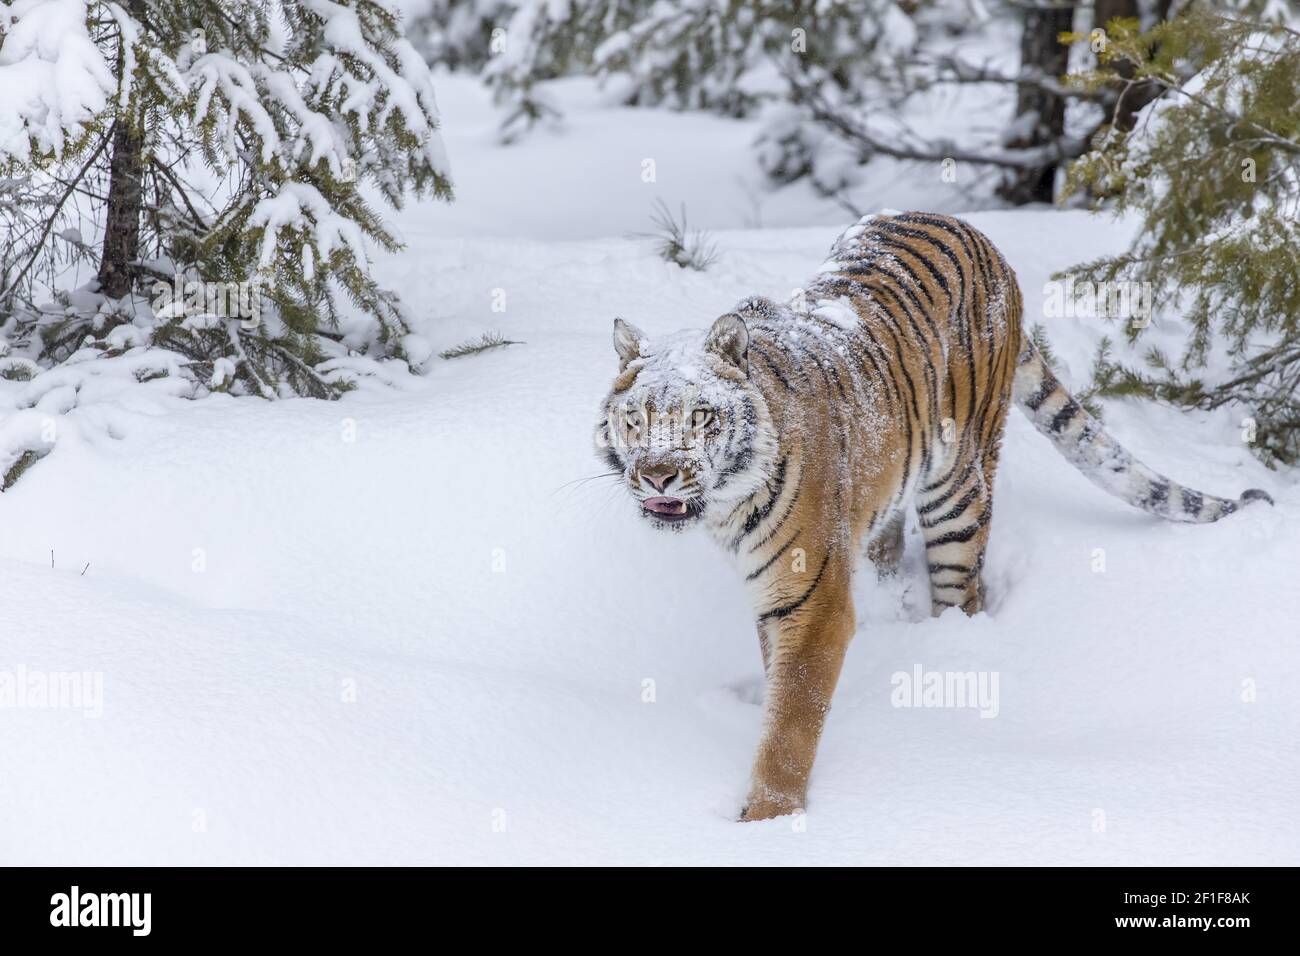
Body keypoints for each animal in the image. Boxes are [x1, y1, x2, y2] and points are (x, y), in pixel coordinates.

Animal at [594, 211, 1272, 822]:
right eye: (637, 418)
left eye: (700, 416)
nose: (658, 473)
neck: (727, 507)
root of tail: (973, 231)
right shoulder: (777, 596)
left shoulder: (811, 601)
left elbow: (791, 723)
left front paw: (768, 823)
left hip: (958, 487)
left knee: (963, 590)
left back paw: (950, 664)